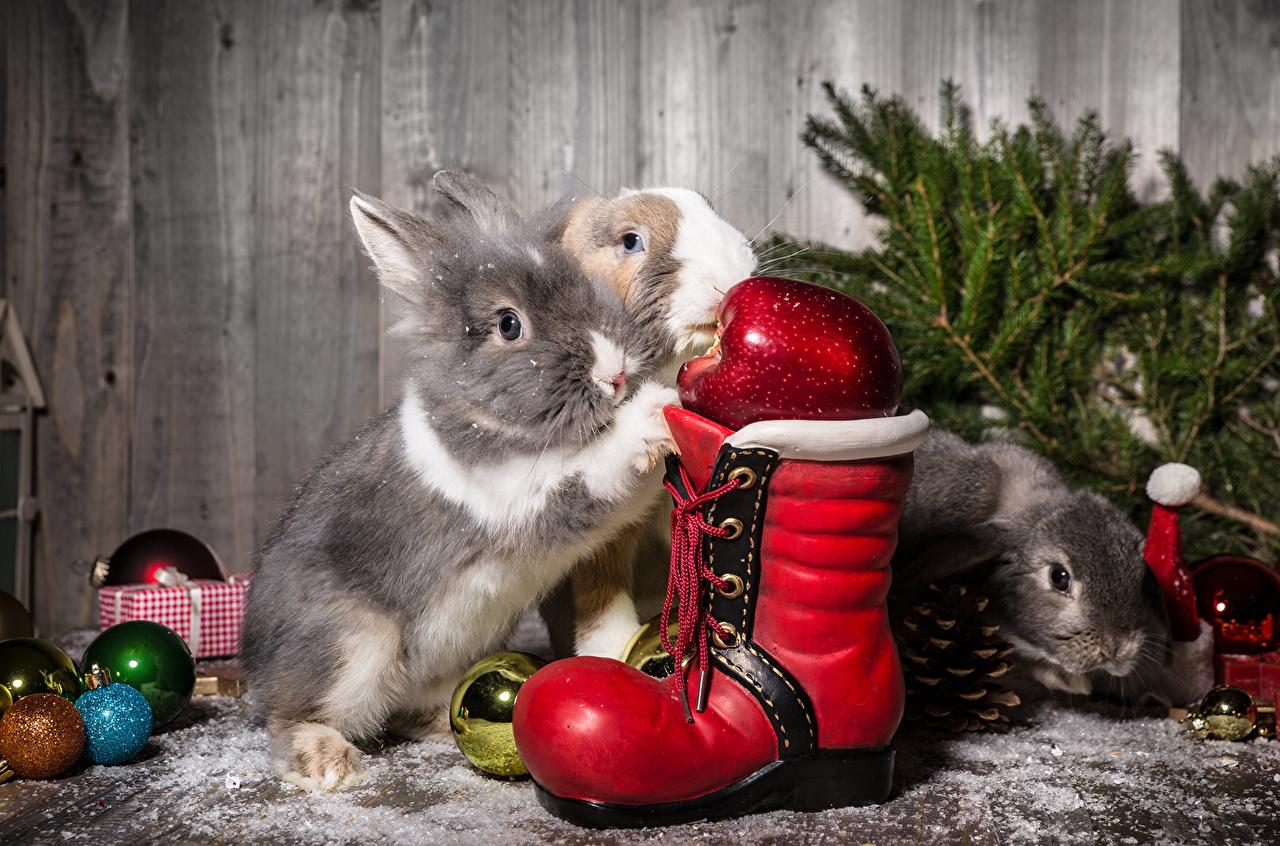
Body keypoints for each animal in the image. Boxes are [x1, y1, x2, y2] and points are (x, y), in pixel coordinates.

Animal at [241, 170, 679, 791]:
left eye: (583, 286)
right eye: (509, 325)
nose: (614, 372)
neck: (487, 419)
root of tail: (254, 666)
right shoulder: (531, 501)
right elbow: (598, 475)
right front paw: (655, 412)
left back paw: (448, 730)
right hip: (352, 642)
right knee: (291, 716)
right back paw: (327, 763)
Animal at [540, 187, 759, 660]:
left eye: (709, 206)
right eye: (630, 241)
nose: (729, 279)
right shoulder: (604, 533)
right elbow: (602, 590)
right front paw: (610, 651)